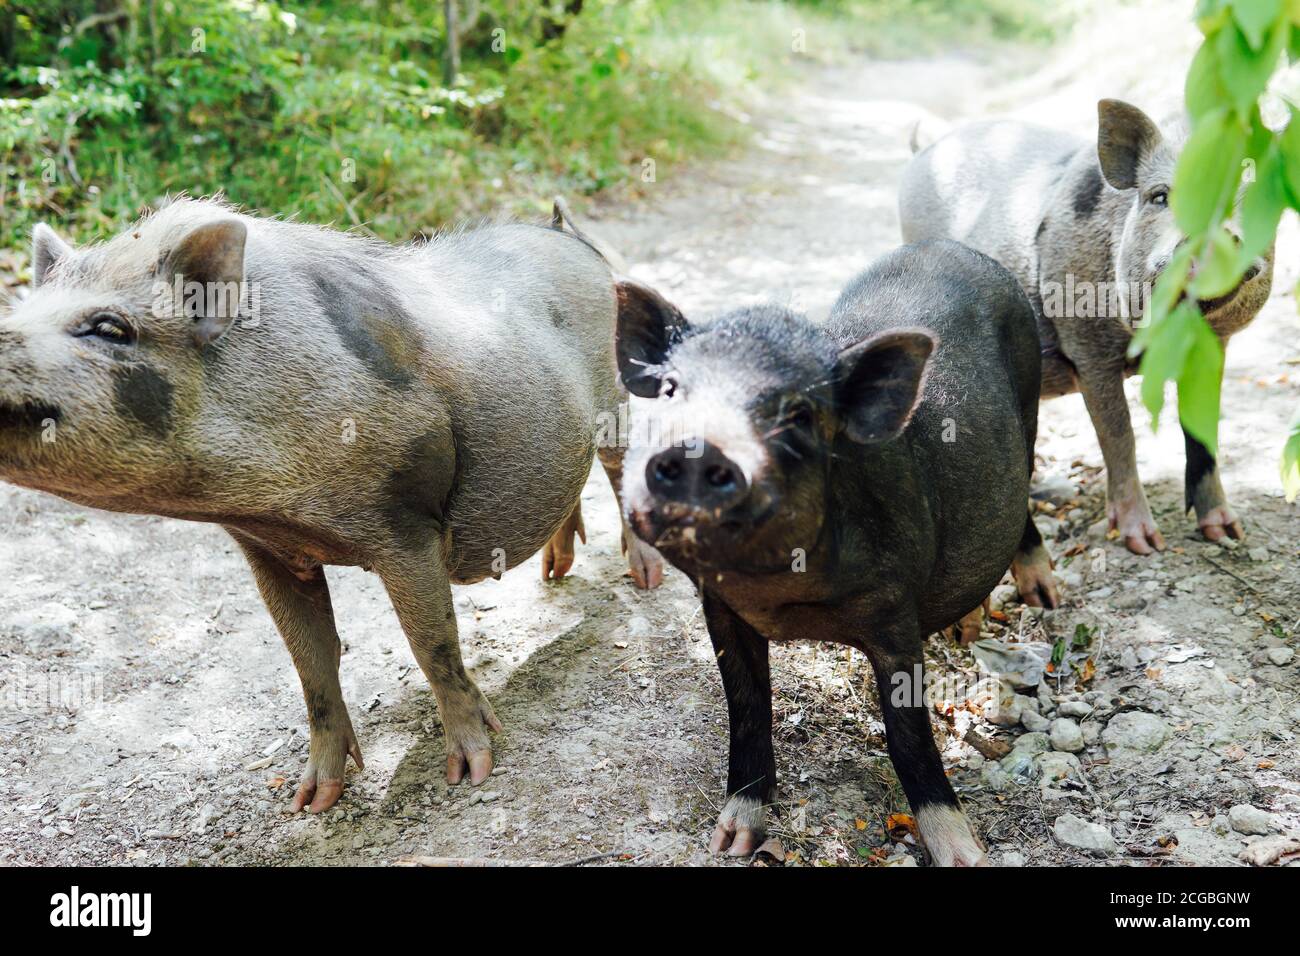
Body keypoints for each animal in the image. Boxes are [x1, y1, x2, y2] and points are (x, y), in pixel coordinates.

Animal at [0, 196, 663, 813]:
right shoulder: (267, 550)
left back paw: (644, 579)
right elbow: (310, 662)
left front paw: (471, 773)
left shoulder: (405, 521)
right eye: (23, 308)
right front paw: (311, 802)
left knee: (620, 471)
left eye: (109, 327)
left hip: (617, 401)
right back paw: (554, 576)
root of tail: (565, 235)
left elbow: (433, 643)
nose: (5, 339)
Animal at [615, 239, 1045, 865]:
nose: (699, 448)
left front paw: (965, 857)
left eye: (799, 414)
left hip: (1031, 404)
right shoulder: (719, 609)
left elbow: (909, 736)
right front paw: (731, 841)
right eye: (671, 389)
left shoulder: (895, 610)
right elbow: (747, 708)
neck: (783, 599)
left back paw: (1039, 596)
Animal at [899, 99, 1274, 555]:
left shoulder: (1215, 347)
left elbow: (1203, 433)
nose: (1208, 235)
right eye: (1160, 197)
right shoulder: (1087, 347)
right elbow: (1120, 435)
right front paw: (1145, 545)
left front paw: (1229, 533)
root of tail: (928, 145)